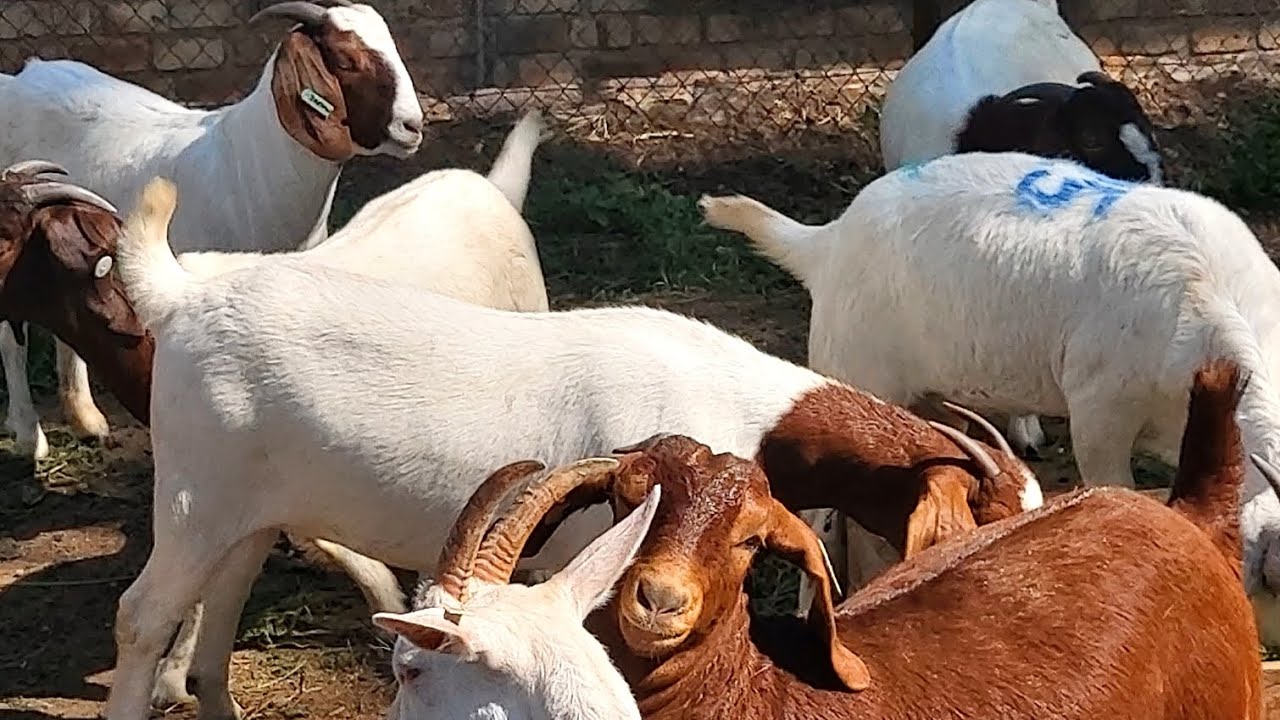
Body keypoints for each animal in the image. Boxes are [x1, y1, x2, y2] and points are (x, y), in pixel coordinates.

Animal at [0, 0, 423, 458]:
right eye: (345, 60)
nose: (413, 126)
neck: (247, 169)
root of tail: (17, 79)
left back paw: (86, 419)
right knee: (11, 340)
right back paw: (30, 436)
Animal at [102, 177, 1041, 720]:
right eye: (988, 513)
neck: (747, 407)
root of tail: (180, 295)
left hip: (248, 508)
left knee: (221, 601)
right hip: (193, 495)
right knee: (142, 616)